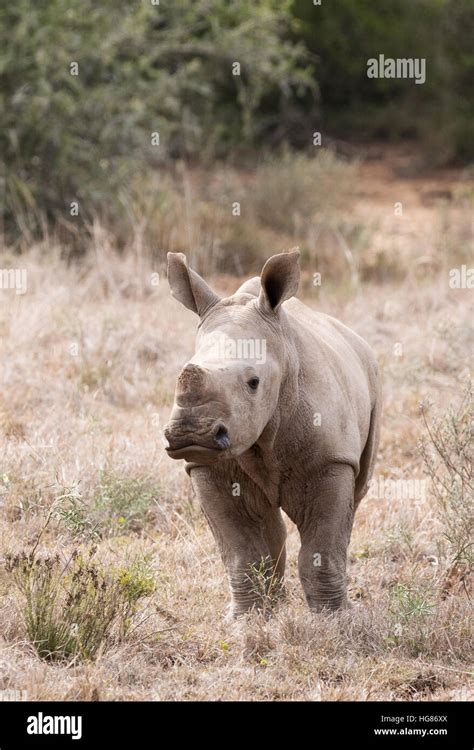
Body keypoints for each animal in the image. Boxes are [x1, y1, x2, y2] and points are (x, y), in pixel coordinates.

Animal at [164, 250, 381, 617]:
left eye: (254, 382)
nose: (191, 434)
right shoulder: (208, 466)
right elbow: (244, 551)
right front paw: (248, 620)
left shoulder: (331, 461)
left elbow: (322, 548)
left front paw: (333, 620)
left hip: (372, 375)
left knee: (356, 495)